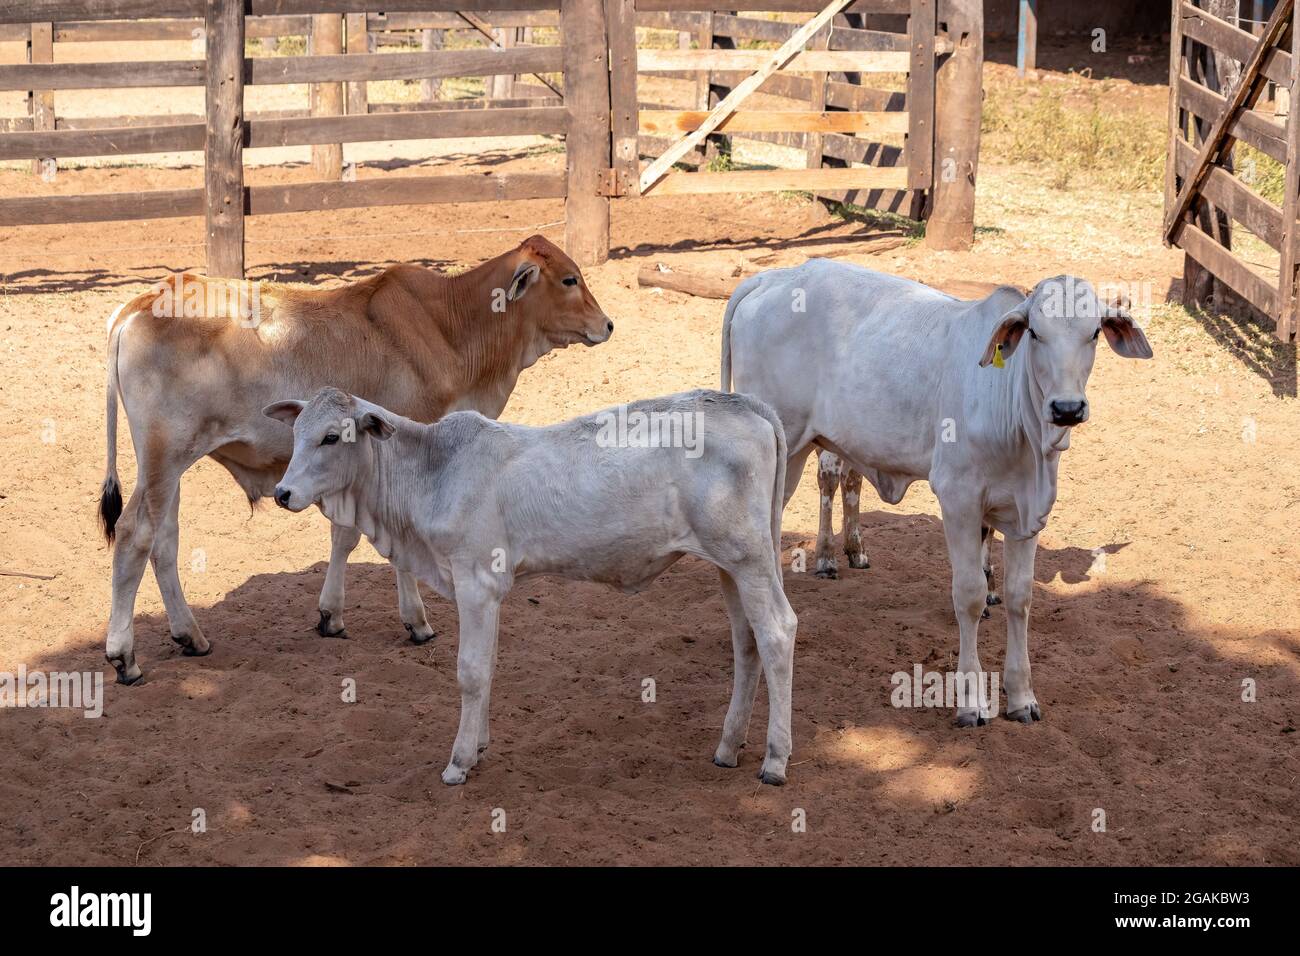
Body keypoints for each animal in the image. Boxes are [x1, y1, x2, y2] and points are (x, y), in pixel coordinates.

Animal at [99, 235, 612, 686]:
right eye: (569, 279)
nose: (607, 324)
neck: (449, 327)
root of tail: (141, 303)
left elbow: (343, 536)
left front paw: (331, 614)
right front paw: (416, 622)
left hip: (167, 468)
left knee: (164, 541)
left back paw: (191, 635)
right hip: (165, 457)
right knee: (134, 536)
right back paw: (125, 657)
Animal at [264, 387, 798, 786]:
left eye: (332, 437)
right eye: (296, 432)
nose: (282, 492)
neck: (433, 470)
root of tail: (746, 404)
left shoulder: (475, 583)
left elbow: (470, 671)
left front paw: (458, 762)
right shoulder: (491, 593)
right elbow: (489, 667)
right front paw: (479, 746)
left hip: (749, 559)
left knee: (776, 632)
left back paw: (775, 759)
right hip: (730, 565)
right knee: (746, 642)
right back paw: (728, 746)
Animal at [721, 263, 1152, 726]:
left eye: (1094, 333)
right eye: (1035, 333)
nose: (1067, 408)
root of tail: (772, 277)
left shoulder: (1026, 514)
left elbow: (1020, 598)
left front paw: (1022, 697)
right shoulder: (959, 499)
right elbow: (969, 595)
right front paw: (971, 701)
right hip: (787, 450)